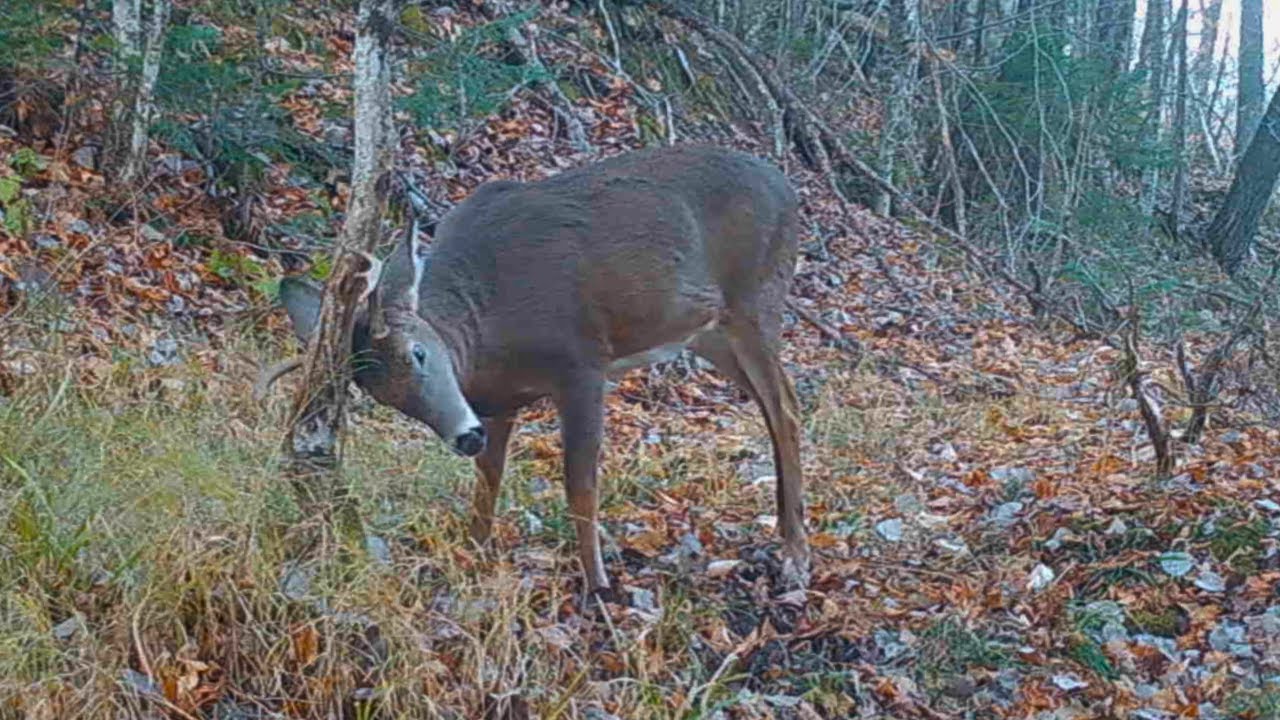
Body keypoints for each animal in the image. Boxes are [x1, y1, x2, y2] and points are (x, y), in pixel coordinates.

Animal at [258, 145, 810, 596]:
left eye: (418, 353)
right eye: (381, 397)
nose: (463, 437)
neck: (486, 335)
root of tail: (789, 188)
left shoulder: (583, 361)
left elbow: (579, 483)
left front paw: (598, 584)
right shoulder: (495, 403)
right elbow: (488, 481)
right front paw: (473, 557)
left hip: (755, 299)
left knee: (785, 406)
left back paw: (794, 557)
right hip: (708, 332)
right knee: (774, 406)